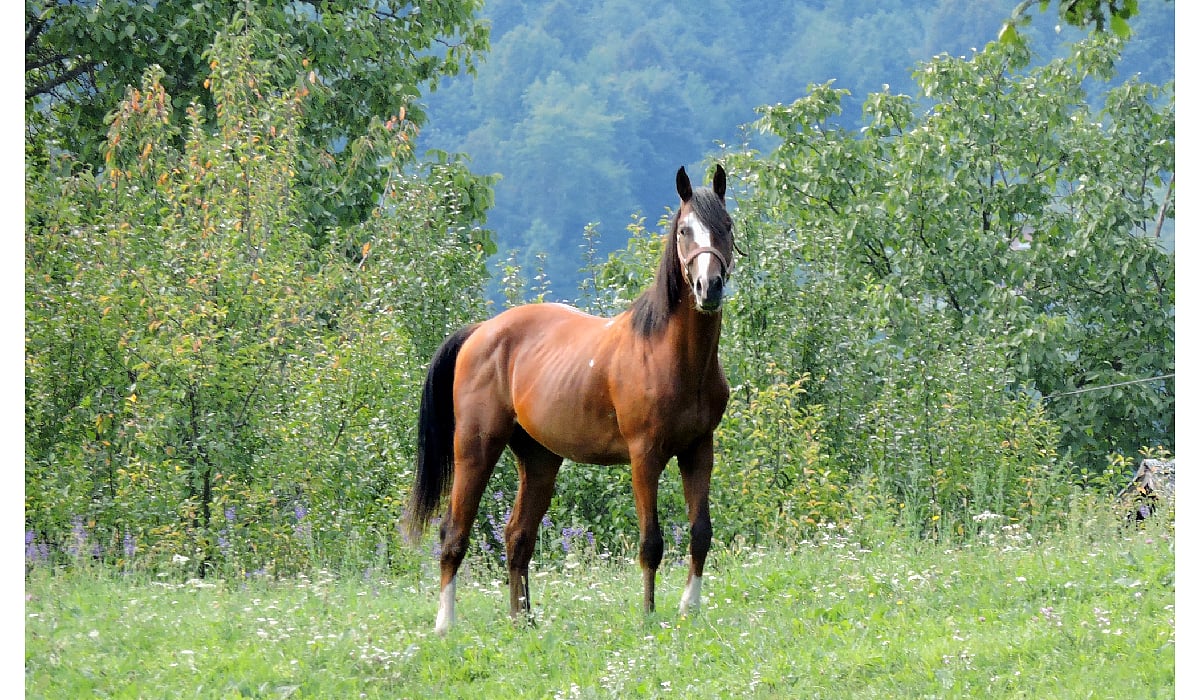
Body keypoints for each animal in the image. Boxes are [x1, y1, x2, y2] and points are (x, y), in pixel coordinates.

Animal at [405, 164, 735, 635]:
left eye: (727, 226)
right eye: (685, 230)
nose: (709, 287)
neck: (667, 353)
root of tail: (481, 331)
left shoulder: (698, 449)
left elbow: (700, 532)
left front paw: (690, 608)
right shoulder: (645, 455)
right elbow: (651, 541)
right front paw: (649, 614)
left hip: (539, 459)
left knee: (517, 536)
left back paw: (523, 619)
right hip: (475, 448)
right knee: (453, 533)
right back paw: (445, 624)